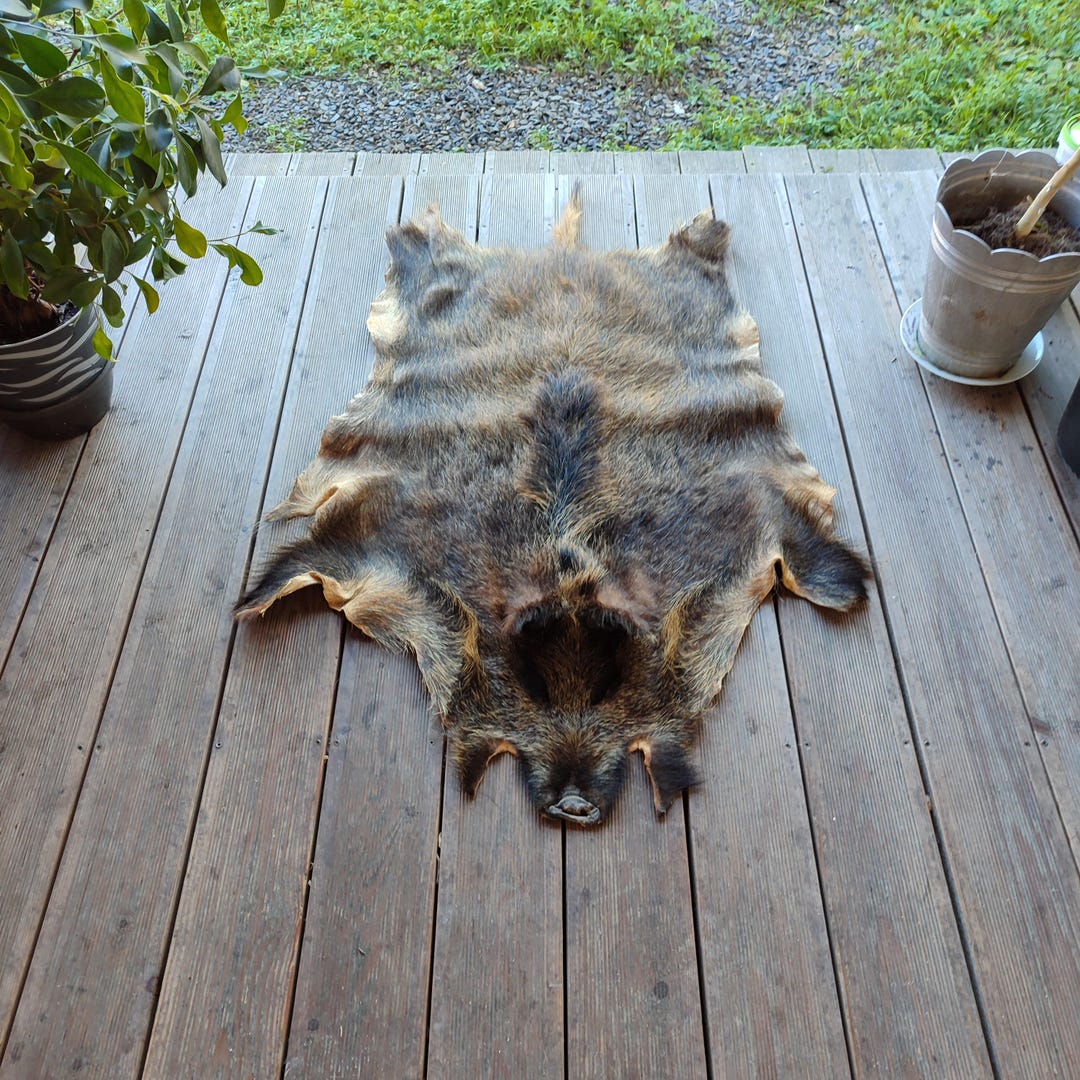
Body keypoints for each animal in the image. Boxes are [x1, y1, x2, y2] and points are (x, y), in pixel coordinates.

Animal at [235, 190, 869, 825]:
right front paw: (255, 600)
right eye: (532, 685)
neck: (566, 555)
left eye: (612, 682)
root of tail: (565, 254)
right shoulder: (378, 530)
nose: (572, 803)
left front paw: (848, 588)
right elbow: (305, 558)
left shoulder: (756, 516)